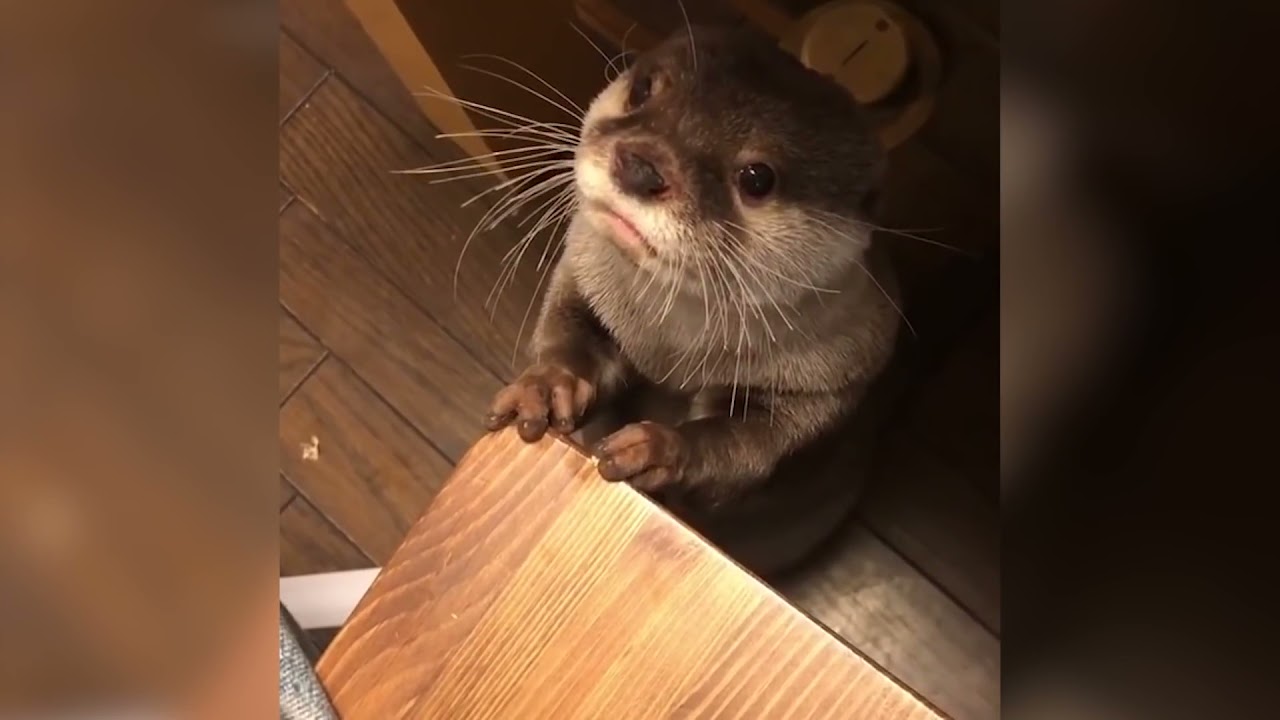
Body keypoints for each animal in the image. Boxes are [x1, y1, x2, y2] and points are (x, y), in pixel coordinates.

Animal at [483, 26, 902, 578]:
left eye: (757, 177)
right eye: (642, 89)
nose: (640, 167)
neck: (671, 347)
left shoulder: (829, 380)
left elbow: (752, 450)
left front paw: (659, 449)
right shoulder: (583, 274)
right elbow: (566, 330)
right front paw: (547, 385)